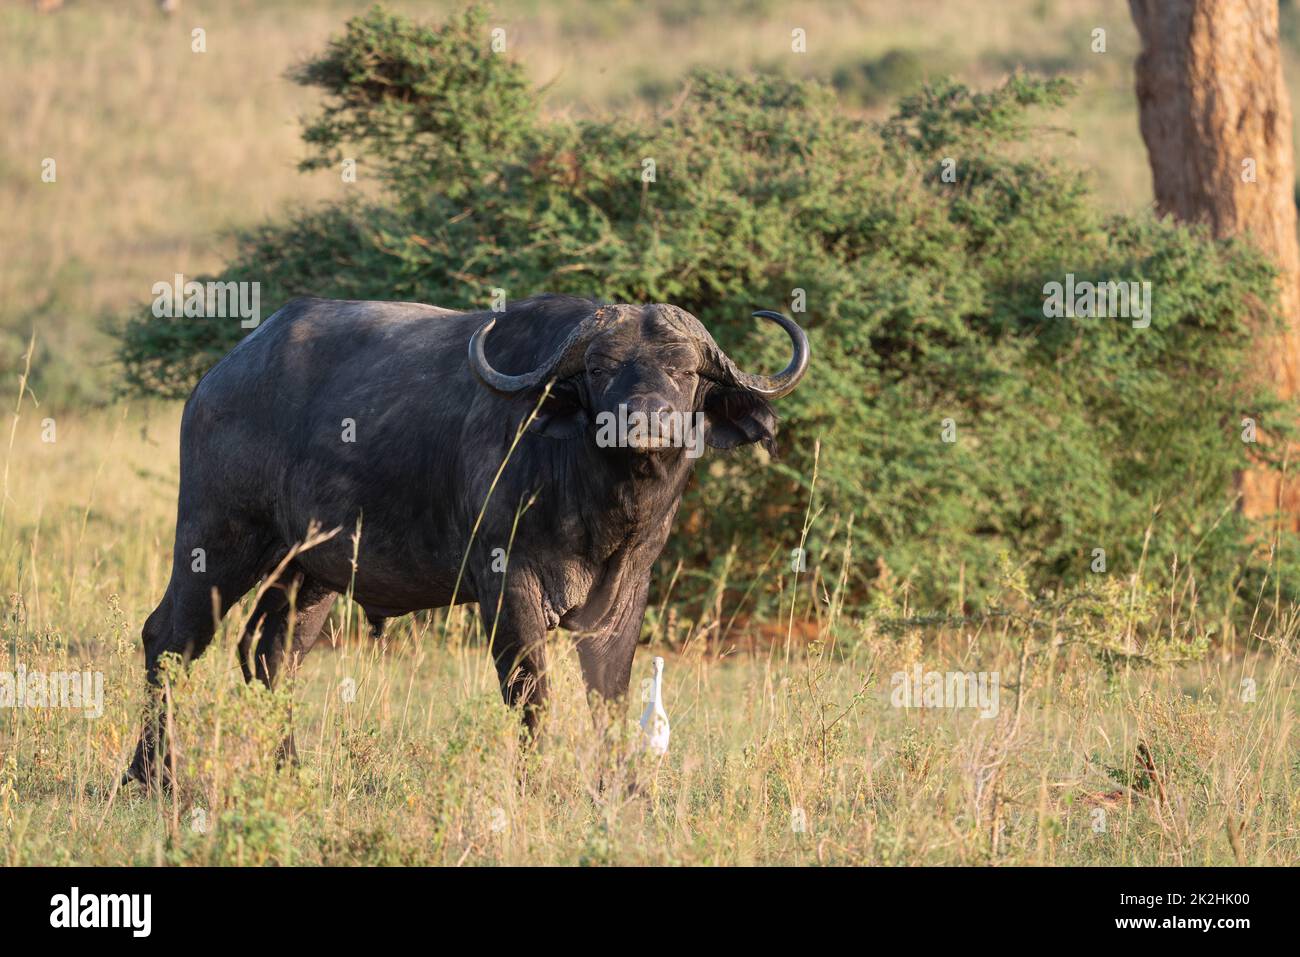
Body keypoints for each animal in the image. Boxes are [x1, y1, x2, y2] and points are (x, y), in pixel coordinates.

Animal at [126, 294, 809, 784]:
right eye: (599, 369)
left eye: (685, 370)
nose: (644, 422)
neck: (592, 498)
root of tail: (219, 377)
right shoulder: (508, 585)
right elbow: (532, 694)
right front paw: (533, 785)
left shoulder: (626, 589)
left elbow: (609, 699)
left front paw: (615, 791)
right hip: (219, 539)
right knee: (169, 639)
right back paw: (152, 776)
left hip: (309, 573)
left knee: (270, 654)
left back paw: (290, 771)